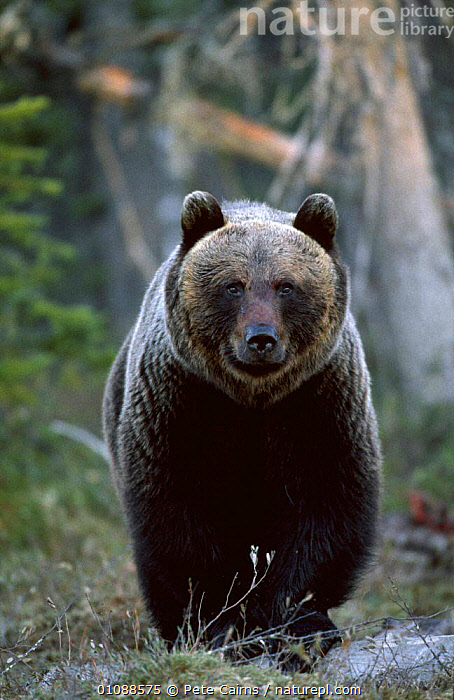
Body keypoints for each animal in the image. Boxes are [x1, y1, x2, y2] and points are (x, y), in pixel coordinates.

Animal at [103, 191, 381, 666]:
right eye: (233, 285)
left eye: (286, 285)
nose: (261, 338)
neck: (254, 399)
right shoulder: (181, 405)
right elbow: (181, 522)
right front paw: (222, 627)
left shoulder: (319, 405)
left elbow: (325, 512)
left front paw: (297, 626)